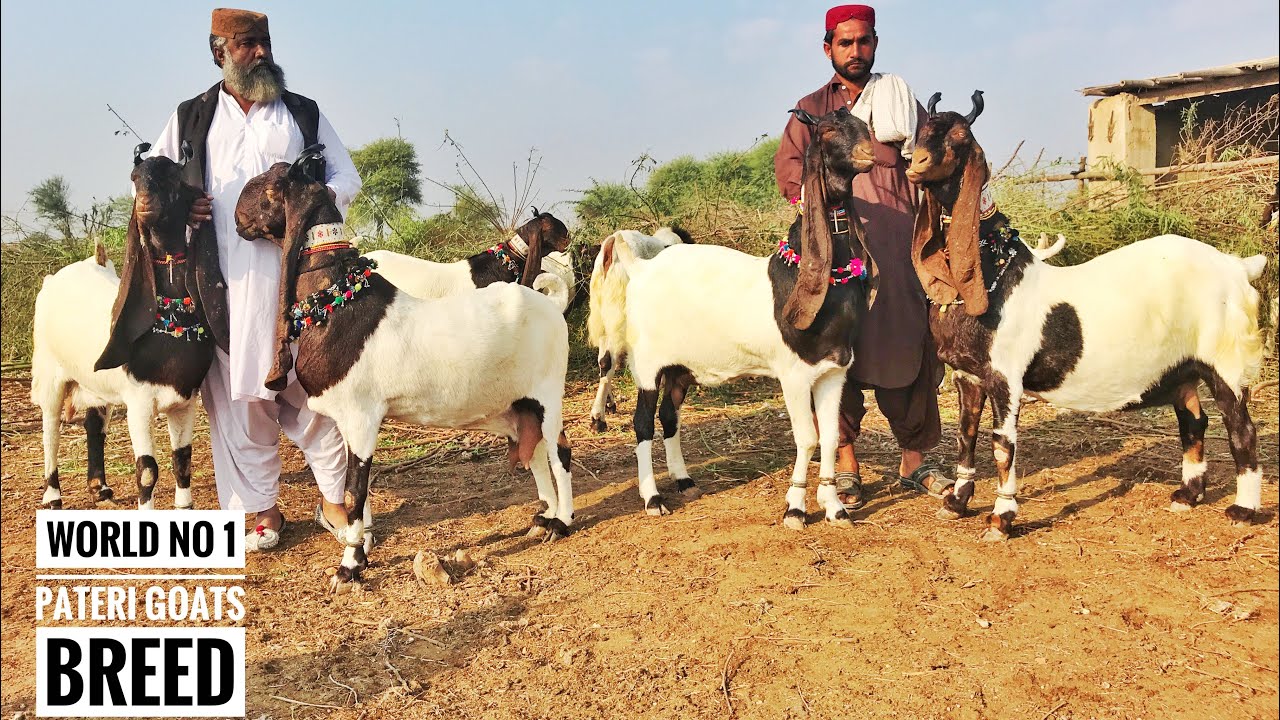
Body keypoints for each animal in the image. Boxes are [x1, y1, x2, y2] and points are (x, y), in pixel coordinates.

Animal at [31, 142, 221, 510]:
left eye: (174, 179)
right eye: (135, 178)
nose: (146, 204)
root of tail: (53, 279)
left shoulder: (185, 399)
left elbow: (183, 460)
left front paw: (185, 507)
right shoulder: (139, 402)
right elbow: (147, 470)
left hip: (91, 379)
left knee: (93, 422)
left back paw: (100, 487)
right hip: (49, 370)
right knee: (50, 429)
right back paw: (52, 495)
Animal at [234, 146, 574, 591]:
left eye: (274, 186)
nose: (237, 213)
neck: (337, 301)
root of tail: (550, 305)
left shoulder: (362, 416)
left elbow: (354, 492)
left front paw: (349, 567)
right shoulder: (347, 421)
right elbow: (354, 490)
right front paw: (359, 551)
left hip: (548, 393)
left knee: (560, 450)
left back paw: (562, 522)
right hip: (518, 405)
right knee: (535, 451)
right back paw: (543, 517)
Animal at [586, 226, 693, 431]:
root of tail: (611, 246)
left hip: (605, 318)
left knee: (603, 361)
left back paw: (605, 408)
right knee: (610, 361)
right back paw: (598, 419)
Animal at [599, 108, 878, 527]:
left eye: (865, 124)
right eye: (828, 128)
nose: (869, 153)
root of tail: (641, 268)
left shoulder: (833, 370)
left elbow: (829, 437)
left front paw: (834, 506)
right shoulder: (794, 374)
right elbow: (808, 437)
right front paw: (795, 508)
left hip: (680, 367)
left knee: (669, 415)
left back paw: (684, 481)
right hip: (647, 363)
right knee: (643, 421)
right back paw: (652, 499)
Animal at [908, 91, 1268, 540]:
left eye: (959, 136)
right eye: (921, 130)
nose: (915, 163)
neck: (998, 274)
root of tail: (1239, 266)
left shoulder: (1006, 377)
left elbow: (1002, 444)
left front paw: (1001, 518)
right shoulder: (967, 374)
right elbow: (965, 434)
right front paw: (956, 502)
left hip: (1226, 362)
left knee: (1242, 429)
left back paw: (1243, 509)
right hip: (1182, 369)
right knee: (1193, 421)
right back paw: (1187, 495)